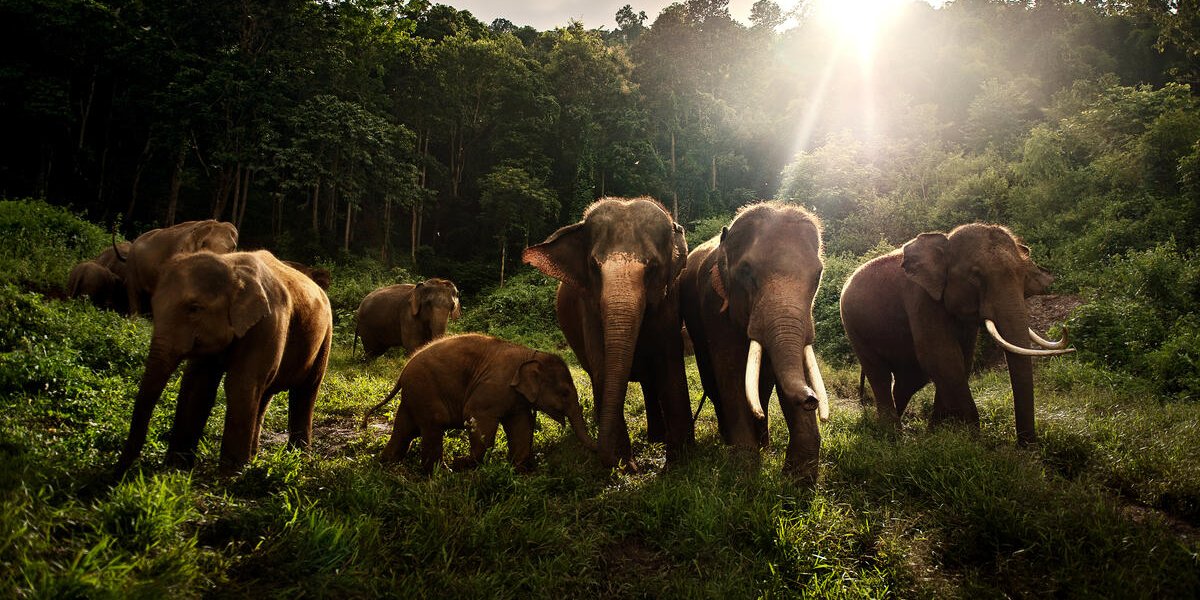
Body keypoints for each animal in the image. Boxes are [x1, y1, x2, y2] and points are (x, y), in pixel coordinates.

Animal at [114, 249, 333, 477]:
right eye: (154, 305)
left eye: (194, 308)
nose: (116, 475)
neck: (231, 265)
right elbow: (198, 385)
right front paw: (176, 469)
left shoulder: (269, 322)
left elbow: (240, 383)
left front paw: (230, 474)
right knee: (264, 393)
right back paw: (254, 458)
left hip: (325, 336)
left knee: (305, 391)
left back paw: (297, 459)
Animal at [364, 333, 596, 473]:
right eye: (565, 393)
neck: (532, 354)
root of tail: (402, 372)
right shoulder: (494, 388)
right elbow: (477, 416)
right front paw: (464, 463)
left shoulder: (517, 399)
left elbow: (520, 426)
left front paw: (518, 469)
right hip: (425, 390)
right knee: (432, 426)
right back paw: (442, 471)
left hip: (414, 397)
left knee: (405, 430)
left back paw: (385, 463)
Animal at [523, 196, 695, 471]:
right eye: (594, 266)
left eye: (653, 267)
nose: (614, 461)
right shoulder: (588, 308)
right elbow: (603, 366)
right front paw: (625, 464)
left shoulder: (669, 303)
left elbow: (670, 365)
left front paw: (679, 463)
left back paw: (656, 439)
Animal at [680, 202, 829, 481]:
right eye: (746, 271)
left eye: (818, 275)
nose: (811, 399)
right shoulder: (714, 305)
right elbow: (731, 373)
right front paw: (744, 474)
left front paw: (799, 482)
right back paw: (730, 440)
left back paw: (764, 443)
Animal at [839, 223, 1073, 445]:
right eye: (976, 276)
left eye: (1023, 277)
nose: (1026, 446)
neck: (946, 239)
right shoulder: (921, 299)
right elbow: (943, 359)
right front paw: (973, 439)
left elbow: (961, 360)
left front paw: (938, 435)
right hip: (854, 327)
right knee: (879, 373)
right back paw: (891, 434)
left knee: (910, 379)